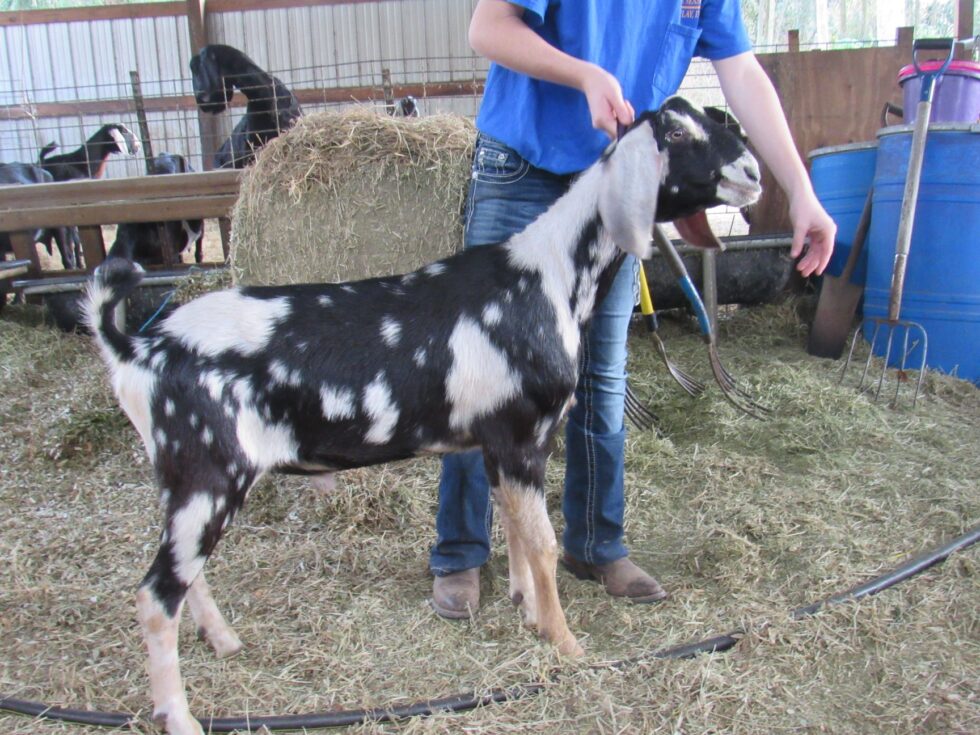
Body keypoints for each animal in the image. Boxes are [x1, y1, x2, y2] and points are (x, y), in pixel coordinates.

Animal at [86, 96, 760, 735]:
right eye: (676, 133)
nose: (753, 172)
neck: (548, 277)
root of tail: (137, 346)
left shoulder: (494, 442)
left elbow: (512, 527)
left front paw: (525, 608)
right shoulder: (524, 437)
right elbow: (543, 543)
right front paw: (565, 644)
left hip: (181, 478)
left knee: (183, 575)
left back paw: (223, 640)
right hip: (210, 472)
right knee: (155, 595)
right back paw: (179, 716)